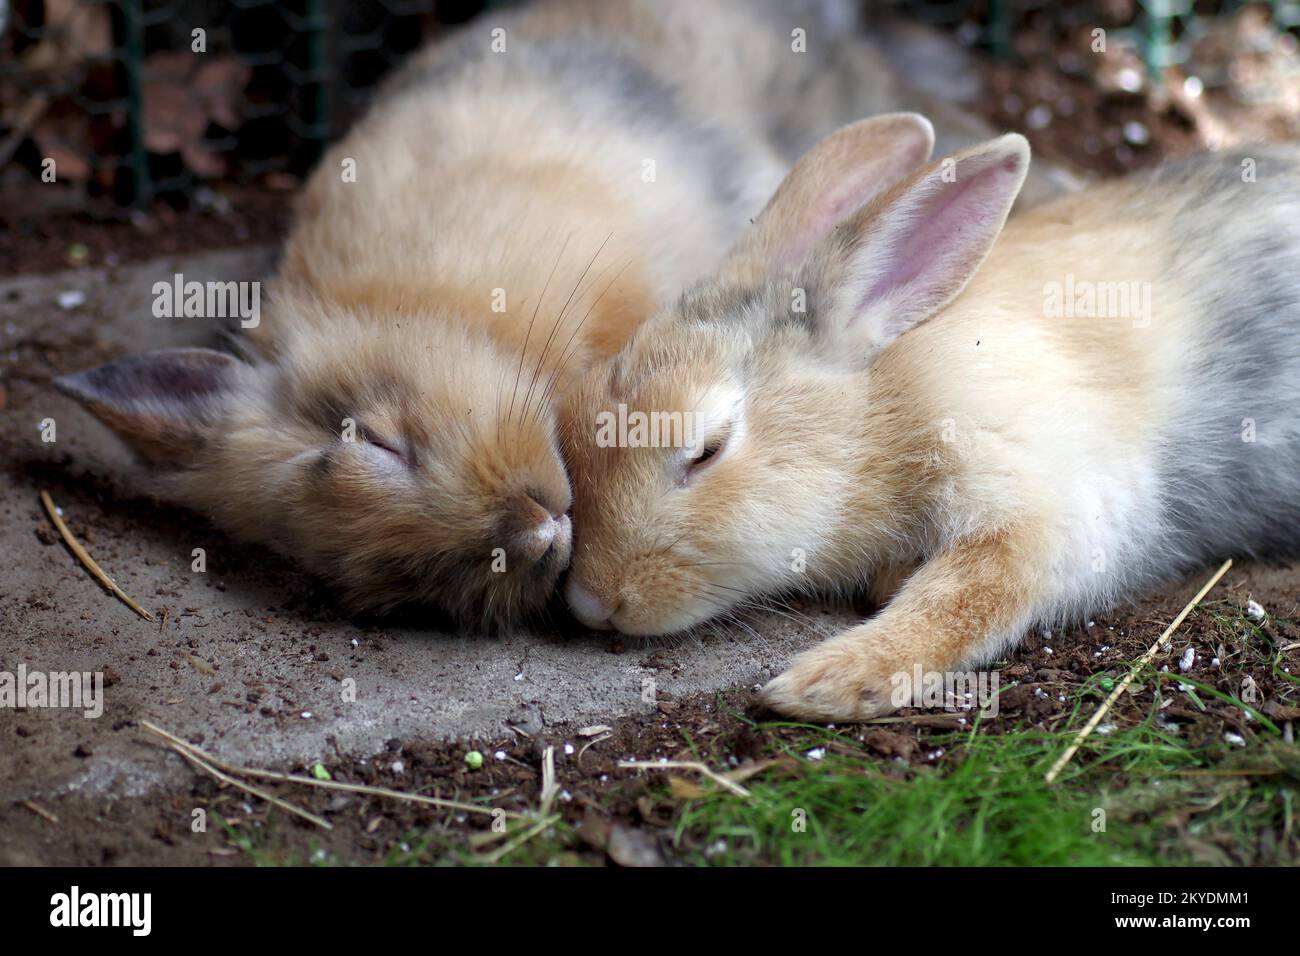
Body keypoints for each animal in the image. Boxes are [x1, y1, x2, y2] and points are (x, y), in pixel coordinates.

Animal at [560, 113, 1300, 720]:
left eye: (708, 449)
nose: (591, 603)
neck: (876, 417)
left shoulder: (1040, 502)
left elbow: (963, 599)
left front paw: (824, 685)